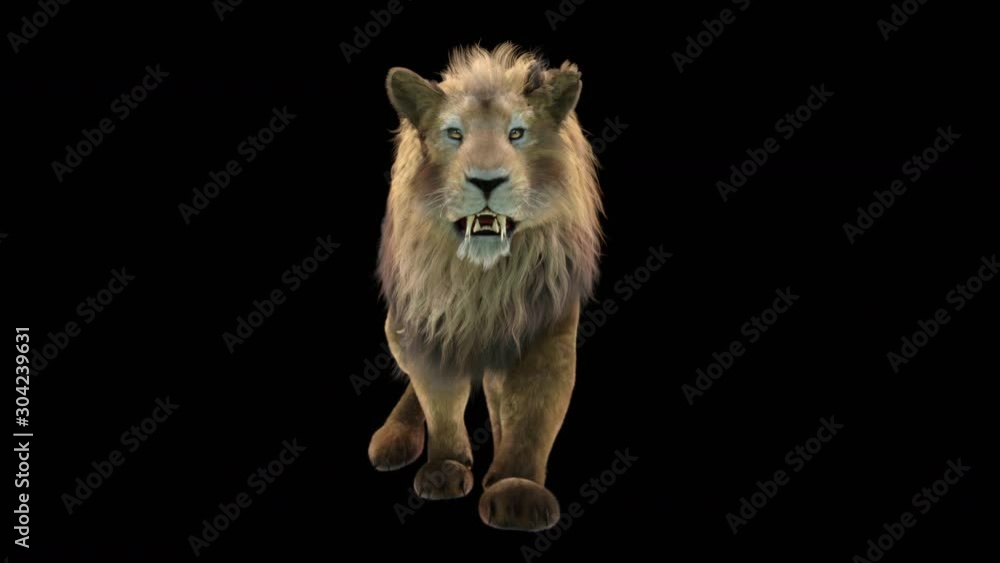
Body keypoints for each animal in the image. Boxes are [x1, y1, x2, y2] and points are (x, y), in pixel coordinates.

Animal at [368, 43, 603, 532]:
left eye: (517, 133)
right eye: (454, 134)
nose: (487, 180)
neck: (484, 279)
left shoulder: (546, 334)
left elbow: (531, 413)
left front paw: (516, 490)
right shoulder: (428, 330)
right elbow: (439, 402)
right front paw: (445, 468)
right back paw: (394, 437)